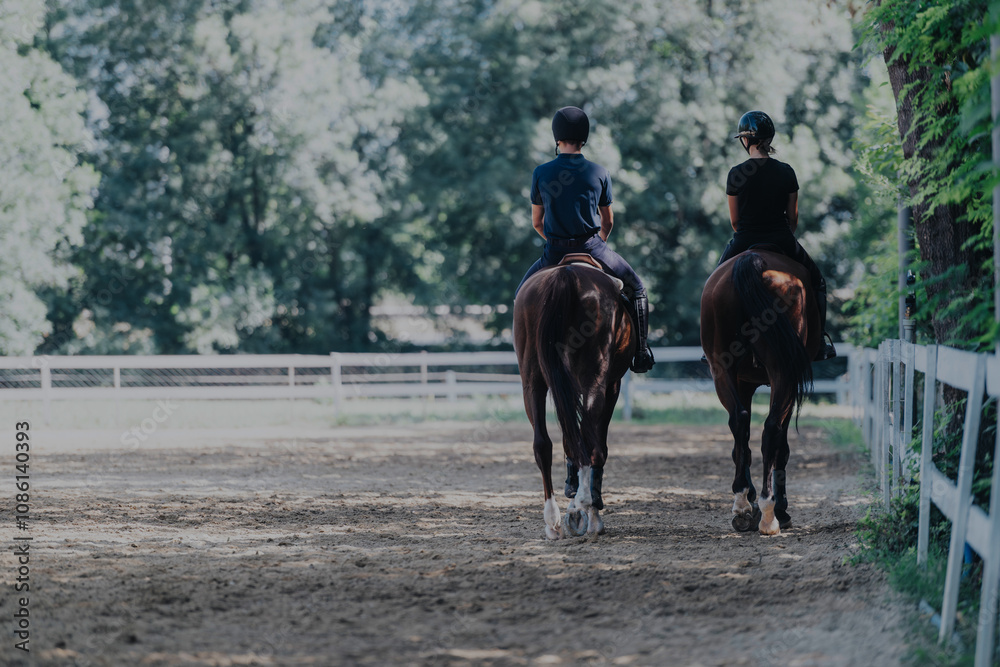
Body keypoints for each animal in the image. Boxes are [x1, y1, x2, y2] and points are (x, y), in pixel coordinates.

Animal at [513, 255, 634, 540]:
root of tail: (566, 274)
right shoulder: (613, 385)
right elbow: (593, 443)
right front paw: (586, 508)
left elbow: (569, 443)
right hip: (596, 378)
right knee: (591, 443)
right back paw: (586, 504)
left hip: (532, 383)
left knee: (543, 444)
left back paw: (553, 520)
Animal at [700, 249, 819, 536]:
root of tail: (753, 258)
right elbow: (781, 448)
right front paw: (780, 508)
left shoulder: (743, 382)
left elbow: (740, 446)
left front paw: (748, 499)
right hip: (783, 372)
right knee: (772, 429)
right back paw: (769, 511)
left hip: (722, 370)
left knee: (740, 420)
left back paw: (743, 502)